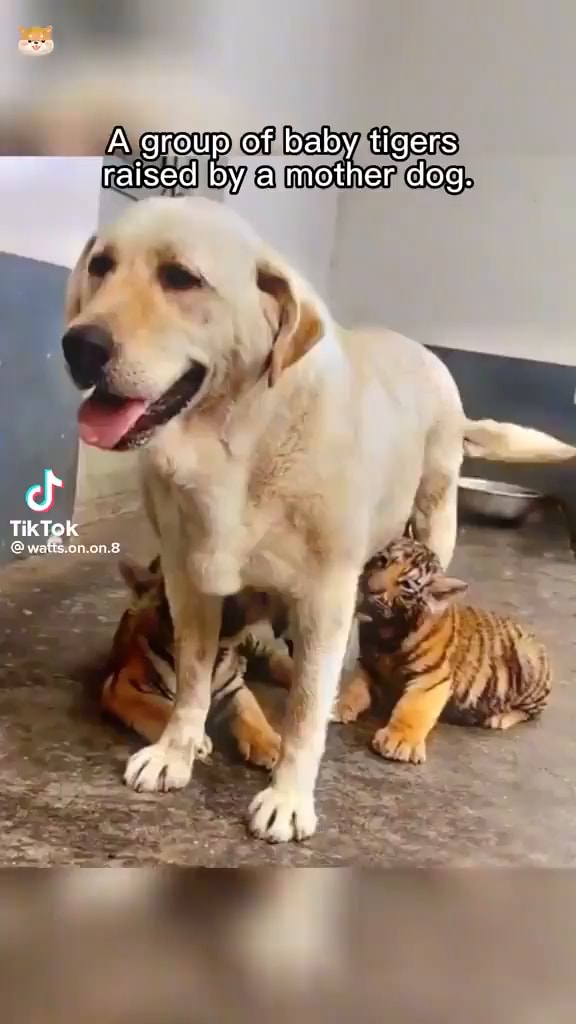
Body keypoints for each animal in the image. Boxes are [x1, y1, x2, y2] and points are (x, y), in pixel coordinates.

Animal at [102, 557, 293, 771]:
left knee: (276, 658)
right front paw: (194, 740)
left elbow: (249, 710)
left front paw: (270, 744)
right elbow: (159, 708)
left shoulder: (232, 685)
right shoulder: (123, 685)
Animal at [334, 536, 552, 764]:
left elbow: (413, 707)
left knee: (532, 711)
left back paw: (499, 718)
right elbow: (352, 686)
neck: (386, 632)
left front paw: (399, 742)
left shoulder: (432, 676)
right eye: (383, 561)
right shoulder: (367, 663)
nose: (370, 589)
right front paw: (336, 705)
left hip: (528, 662)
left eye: (405, 584)